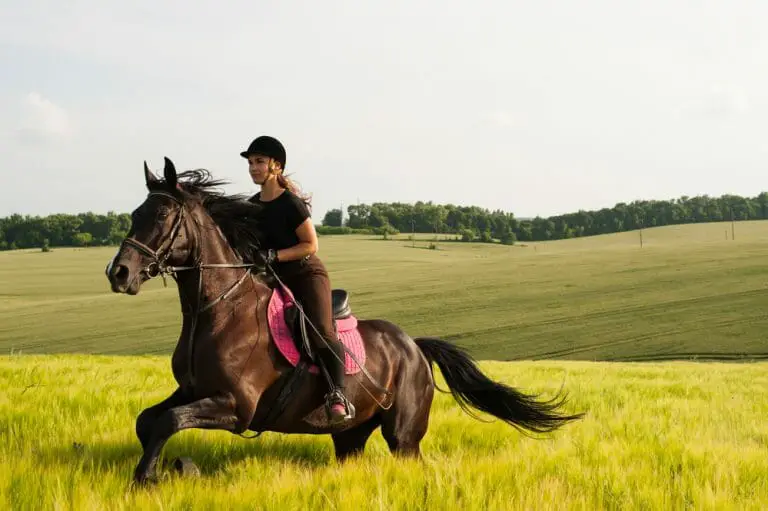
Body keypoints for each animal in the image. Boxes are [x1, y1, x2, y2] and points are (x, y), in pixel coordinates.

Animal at [105, 157, 584, 485]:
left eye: (161, 216)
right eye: (135, 214)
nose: (119, 273)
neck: (219, 308)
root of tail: (413, 344)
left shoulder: (235, 405)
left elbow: (167, 421)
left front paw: (148, 478)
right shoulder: (192, 390)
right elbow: (148, 420)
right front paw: (160, 471)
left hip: (404, 435)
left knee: (410, 459)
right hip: (351, 434)